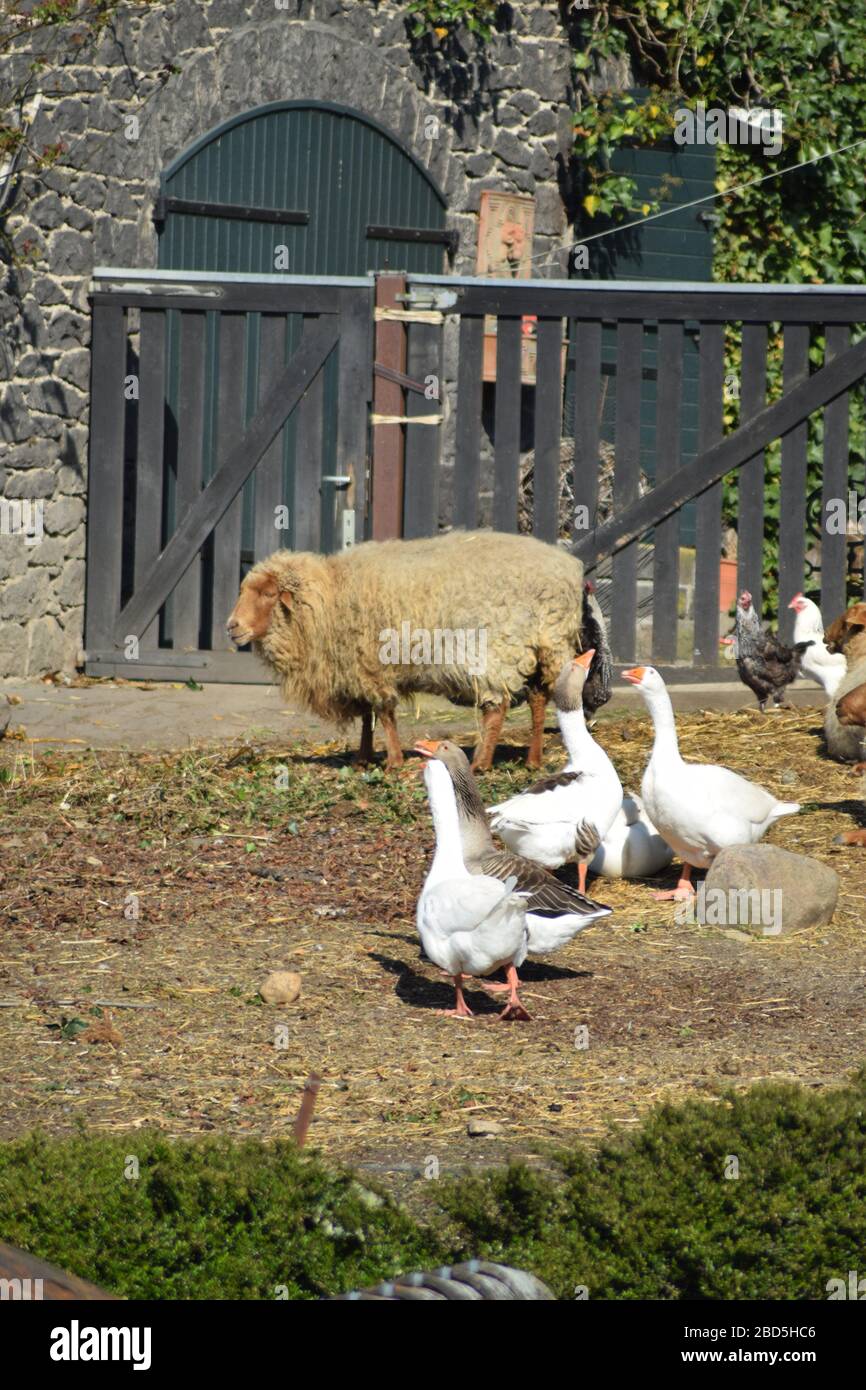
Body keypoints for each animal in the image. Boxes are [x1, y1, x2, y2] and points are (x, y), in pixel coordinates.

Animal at [226, 529, 591, 771]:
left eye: (268, 594)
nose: (231, 627)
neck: (331, 596)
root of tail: (567, 572)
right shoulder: (357, 667)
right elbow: (368, 715)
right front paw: (362, 759)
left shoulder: (371, 664)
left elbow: (384, 713)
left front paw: (393, 762)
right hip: (543, 646)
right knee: (539, 699)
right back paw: (533, 760)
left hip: (497, 649)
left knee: (497, 707)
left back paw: (481, 764)